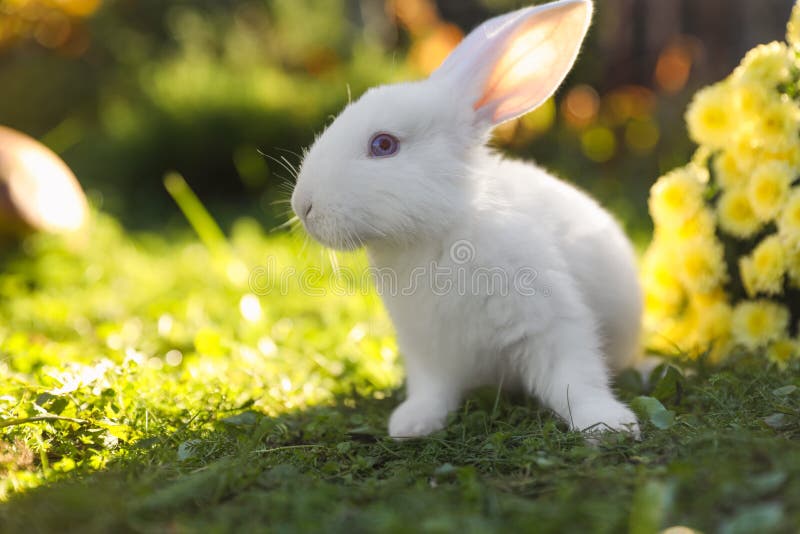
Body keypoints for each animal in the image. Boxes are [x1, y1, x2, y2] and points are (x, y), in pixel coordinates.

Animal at [291, 0, 642, 439]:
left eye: (383, 145)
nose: (303, 206)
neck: (440, 235)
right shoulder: (429, 352)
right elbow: (433, 392)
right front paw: (411, 423)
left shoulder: (553, 323)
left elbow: (575, 381)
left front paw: (608, 424)